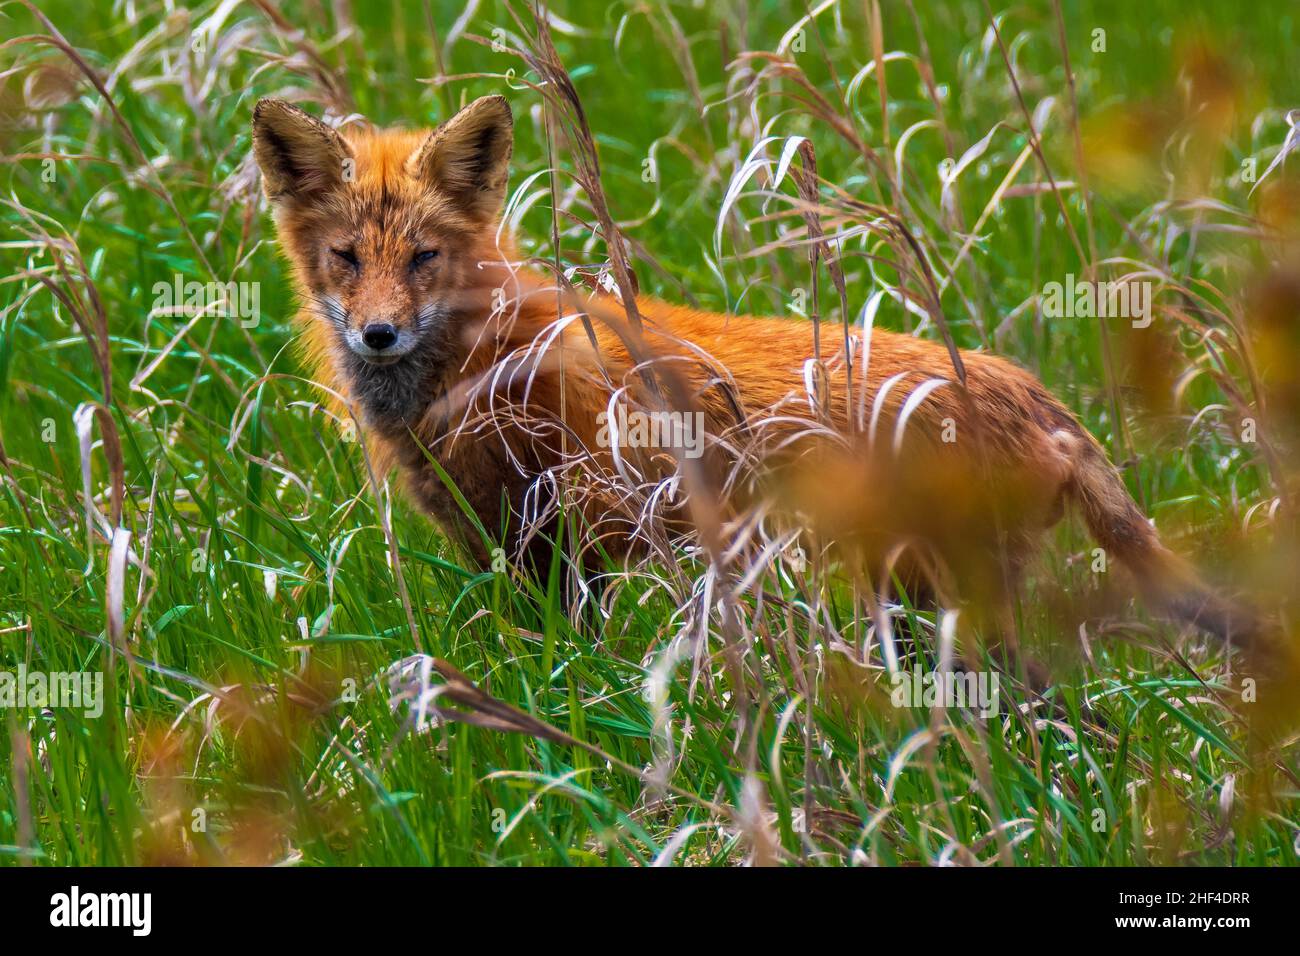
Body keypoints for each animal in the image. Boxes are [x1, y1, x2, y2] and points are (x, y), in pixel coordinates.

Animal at [250, 93, 1267, 671]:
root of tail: (1048, 406)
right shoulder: (504, 551)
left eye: (422, 257)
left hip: (946, 599)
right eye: (346, 258)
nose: (379, 334)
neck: (481, 358)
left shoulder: (579, 541)